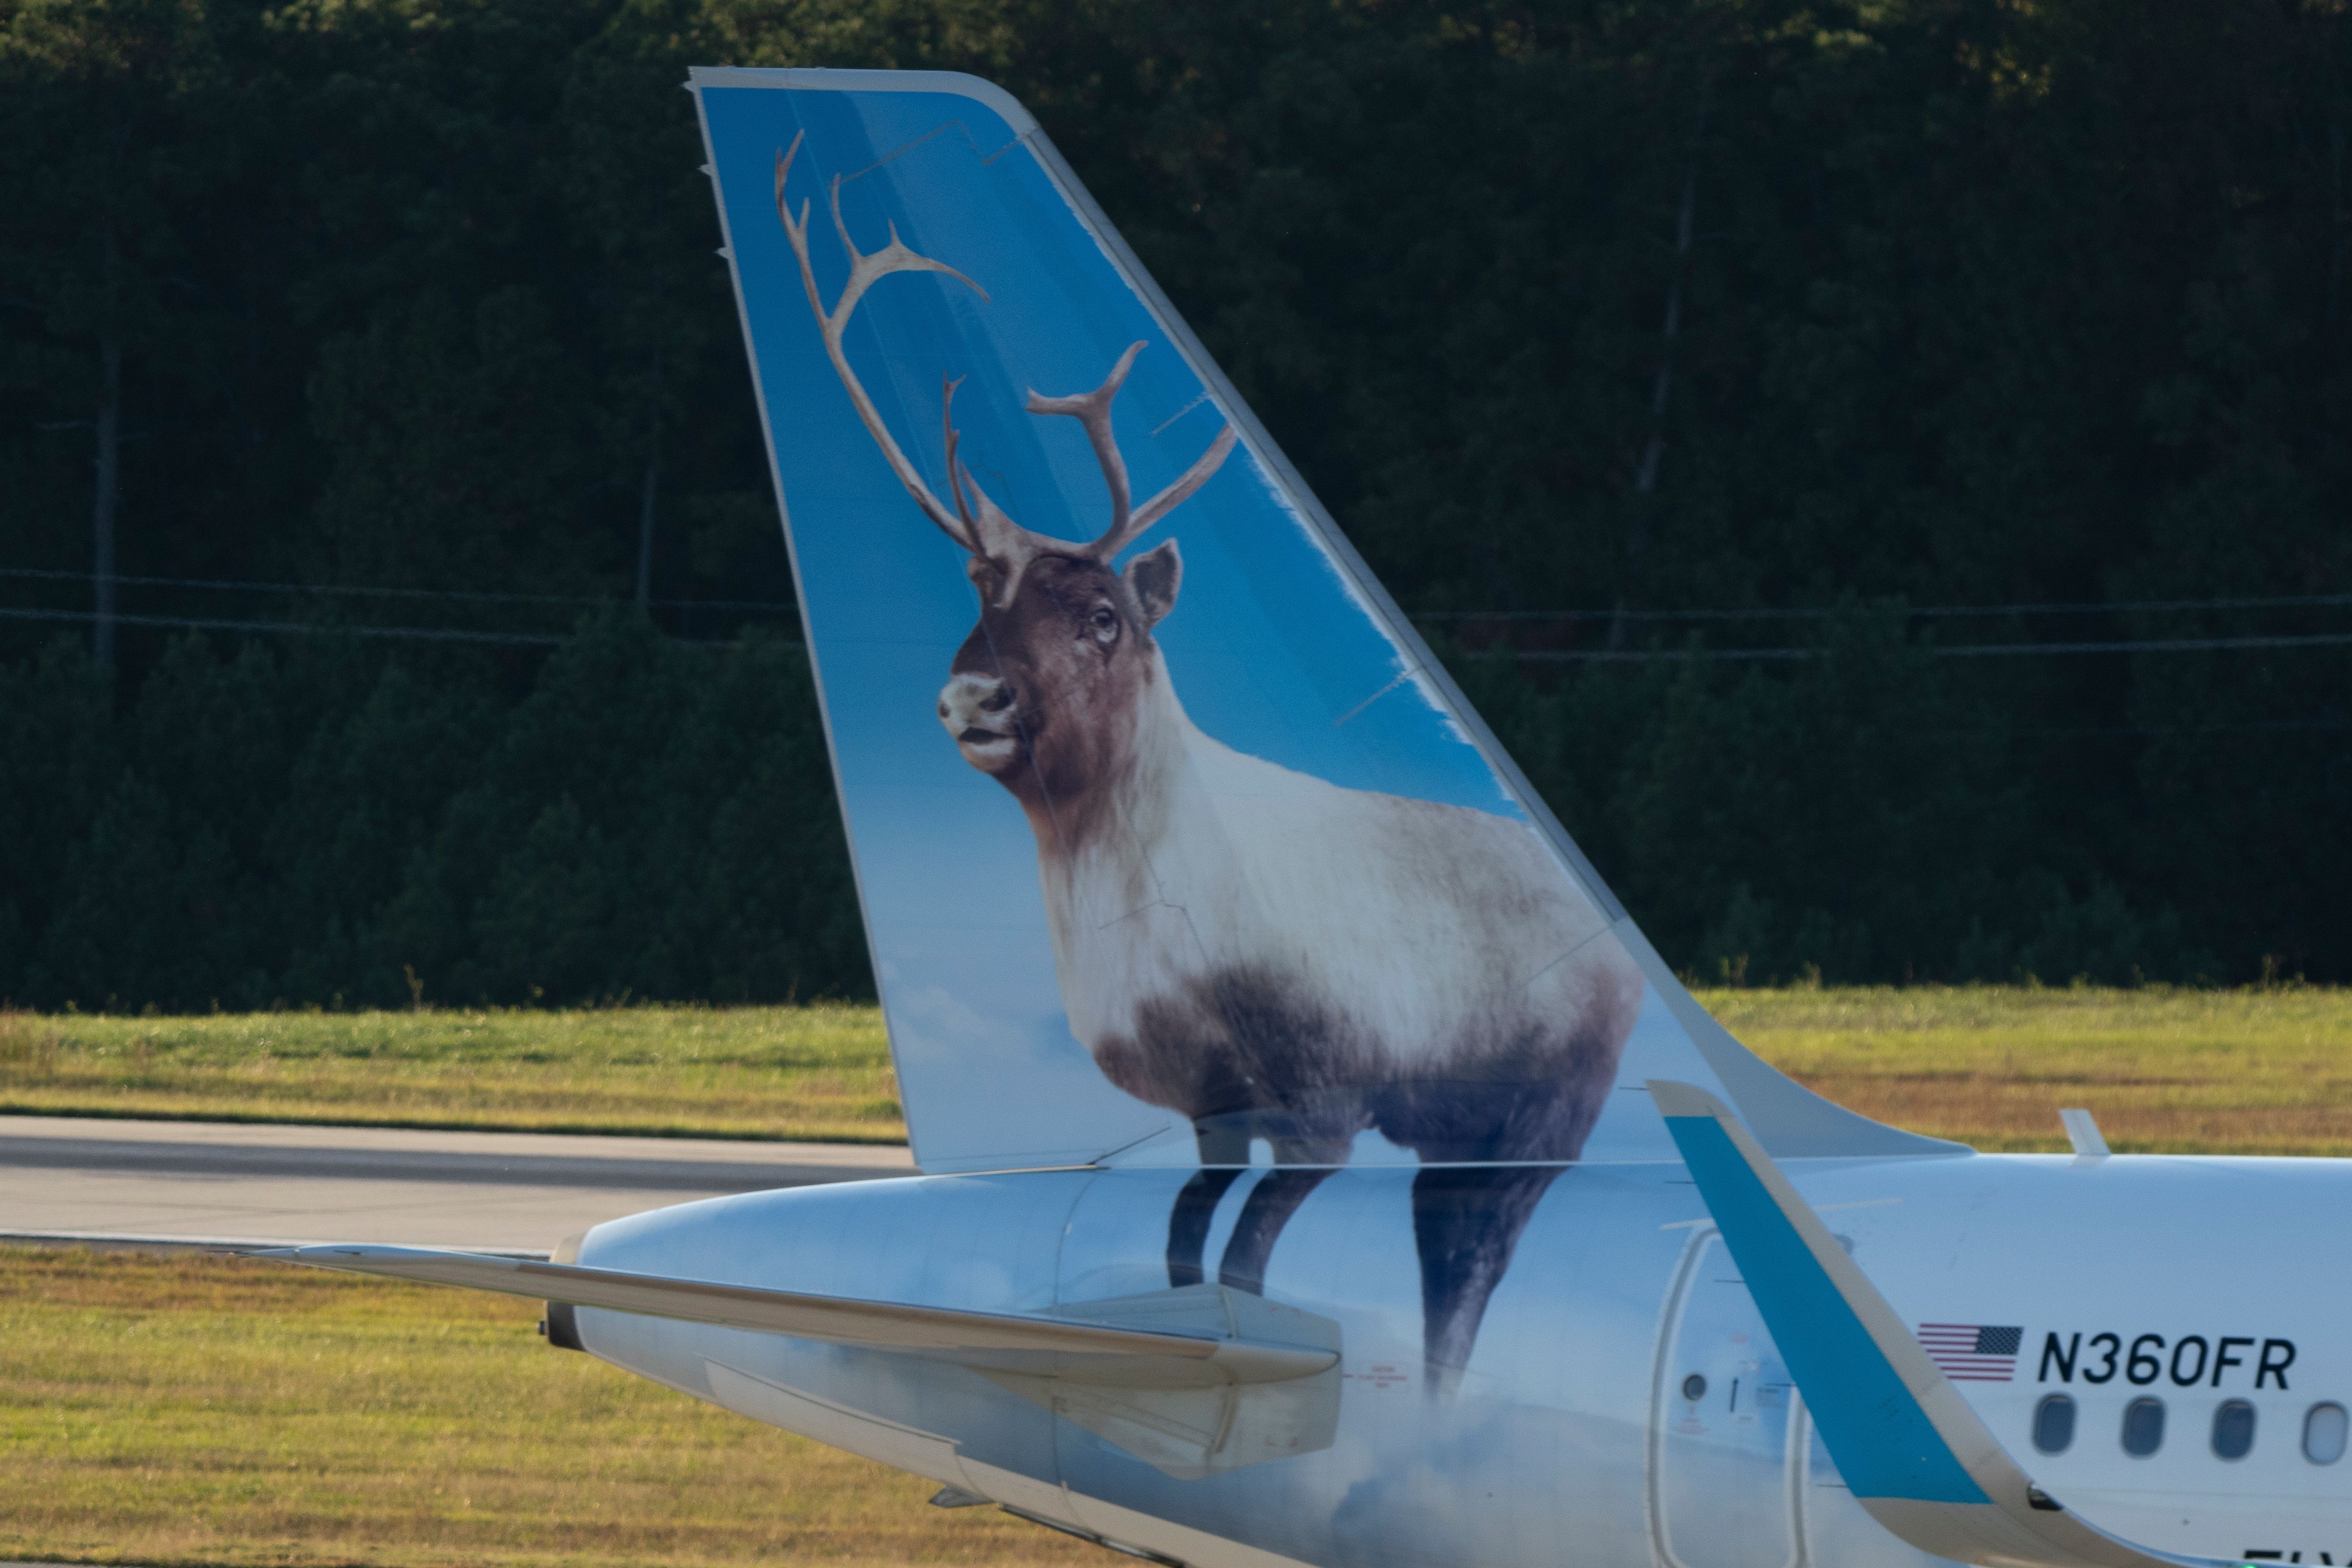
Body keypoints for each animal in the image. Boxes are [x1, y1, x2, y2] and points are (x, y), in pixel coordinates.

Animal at [775, 135, 1645, 1379]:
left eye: (1103, 614)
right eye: (979, 600)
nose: (969, 697)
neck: (1152, 935)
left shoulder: (1324, 1100)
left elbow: (1240, 1261)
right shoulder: (1212, 1107)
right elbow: (1190, 1248)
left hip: (1528, 1120)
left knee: (1466, 1283)